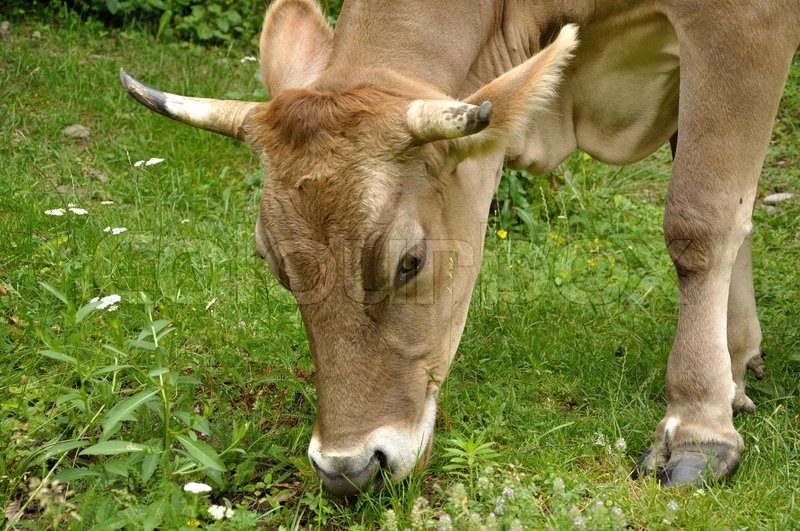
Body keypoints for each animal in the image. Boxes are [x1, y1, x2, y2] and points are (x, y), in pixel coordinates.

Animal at [121, 0, 800, 497]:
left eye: (410, 261)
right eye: (278, 266)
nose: (348, 471)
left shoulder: (740, 25)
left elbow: (702, 216)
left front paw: (701, 425)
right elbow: (735, 207)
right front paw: (736, 363)